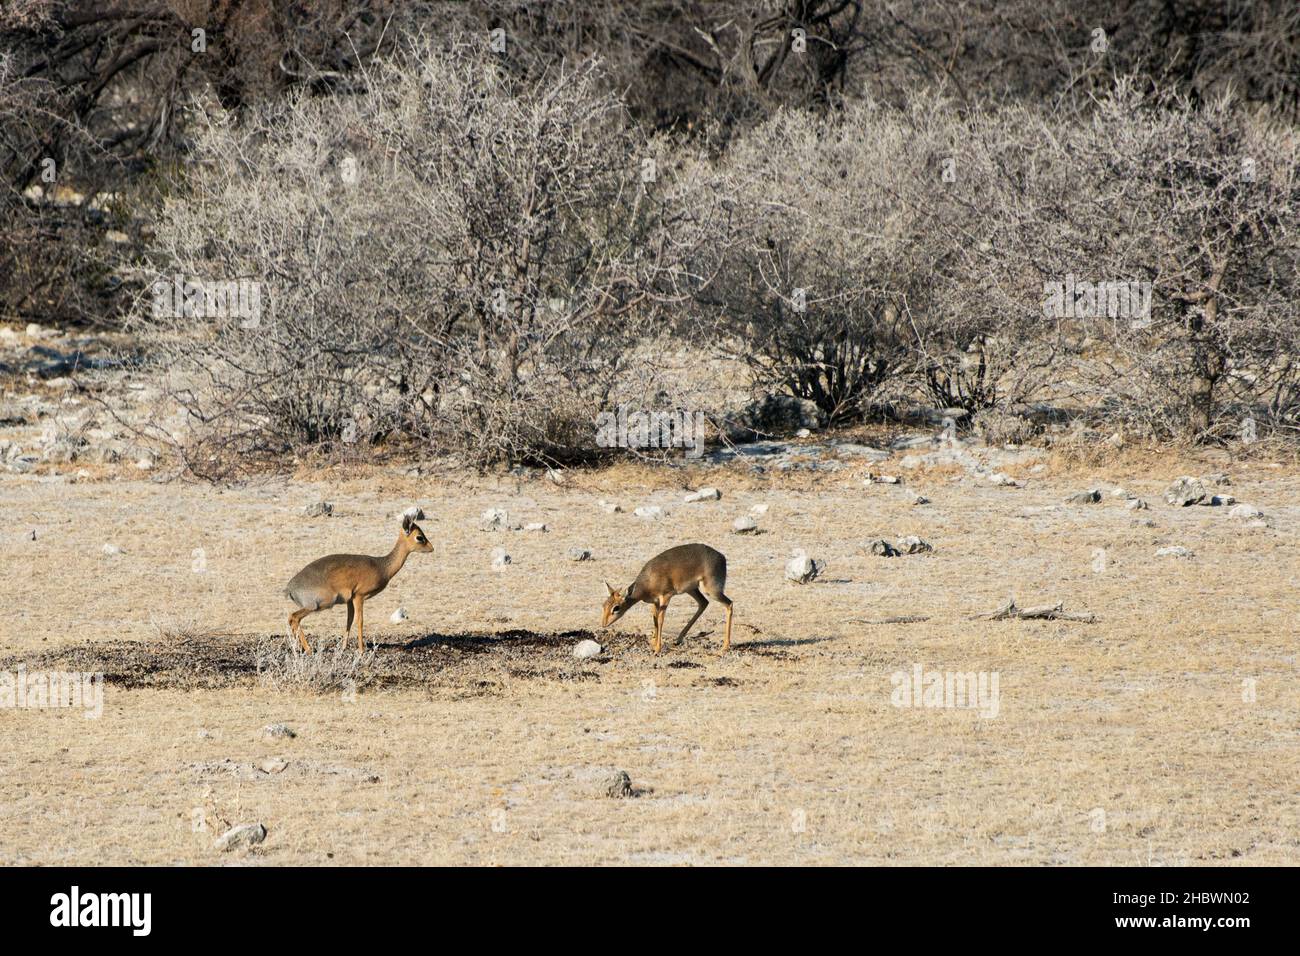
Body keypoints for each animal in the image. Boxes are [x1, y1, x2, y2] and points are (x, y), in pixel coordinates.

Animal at [285, 515, 432, 653]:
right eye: (419, 537)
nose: (432, 548)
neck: (382, 567)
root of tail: (289, 588)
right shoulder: (359, 596)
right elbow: (360, 621)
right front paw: (361, 650)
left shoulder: (350, 601)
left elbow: (349, 621)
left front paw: (344, 647)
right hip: (318, 604)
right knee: (293, 617)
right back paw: (308, 649)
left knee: (292, 620)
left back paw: (297, 648)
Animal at [601, 543, 734, 654]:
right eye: (604, 605)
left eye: (616, 608)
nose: (603, 624)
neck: (648, 581)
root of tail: (722, 557)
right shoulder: (655, 601)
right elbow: (654, 620)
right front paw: (654, 644)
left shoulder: (666, 596)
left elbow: (660, 620)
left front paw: (657, 649)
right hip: (692, 590)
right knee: (703, 603)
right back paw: (678, 639)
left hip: (710, 590)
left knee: (729, 604)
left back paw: (725, 646)